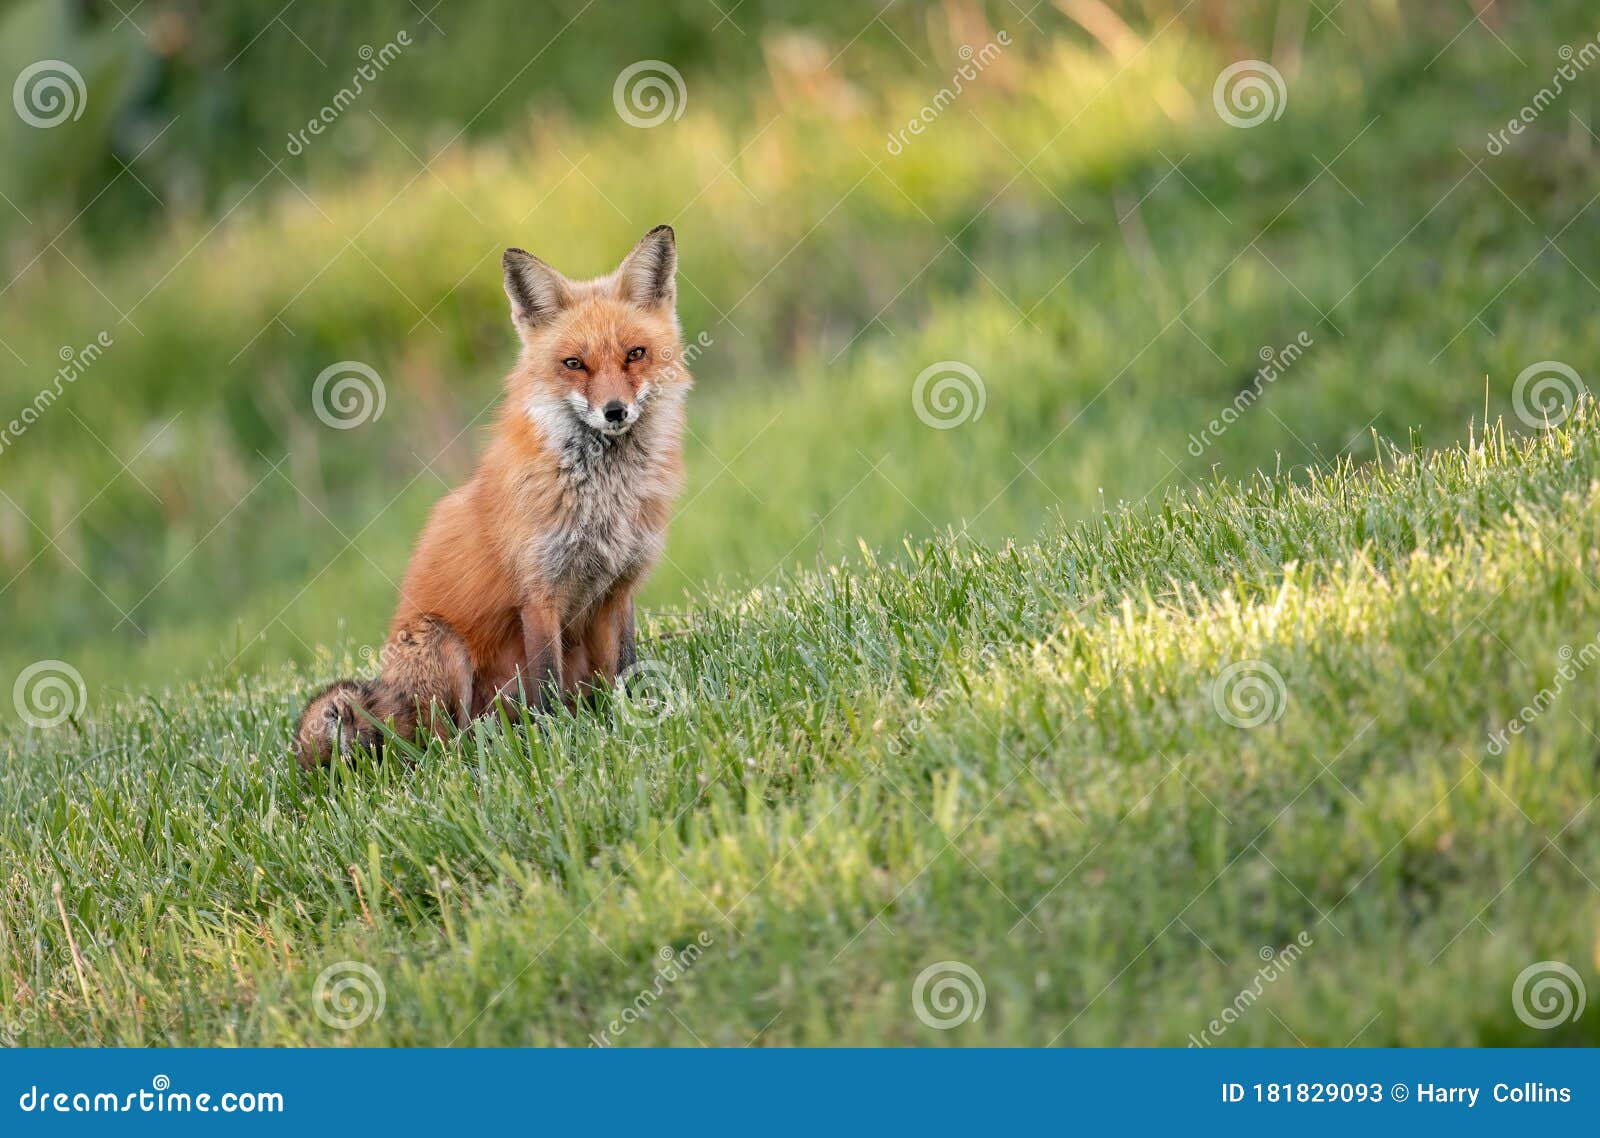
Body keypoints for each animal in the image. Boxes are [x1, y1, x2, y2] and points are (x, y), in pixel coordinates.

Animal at [387, 224, 690, 715]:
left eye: (635, 354)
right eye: (574, 364)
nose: (614, 411)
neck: (605, 496)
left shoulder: (619, 587)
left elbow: (625, 666)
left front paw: (630, 713)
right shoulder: (539, 595)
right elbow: (546, 685)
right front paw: (556, 732)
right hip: (442, 647)